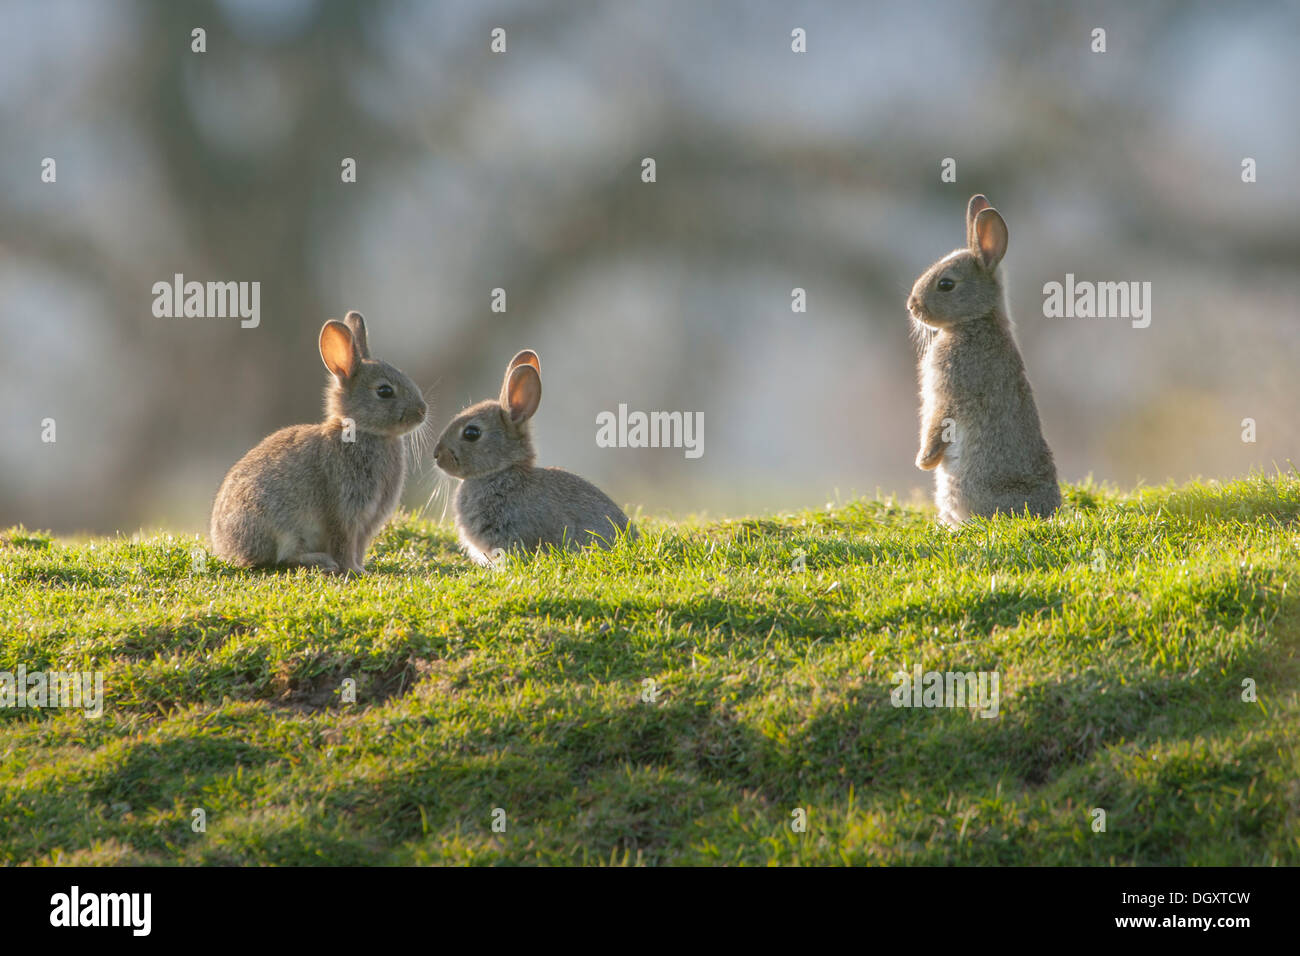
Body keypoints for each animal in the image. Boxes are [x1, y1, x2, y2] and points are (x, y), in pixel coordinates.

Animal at [210, 311, 428, 573]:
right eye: (385, 391)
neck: (361, 430)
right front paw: (353, 570)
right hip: (276, 526)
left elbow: (359, 545)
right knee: (280, 559)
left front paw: (361, 568)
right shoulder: (344, 509)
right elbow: (344, 542)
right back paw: (321, 561)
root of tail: (223, 545)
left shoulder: (367, 521)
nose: (422, 411)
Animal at [907, 194, 1061, 527]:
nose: (912, 306)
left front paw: (924, 462)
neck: (977, 319)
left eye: (946, 285)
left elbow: (937, 424)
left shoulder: (950, 392)